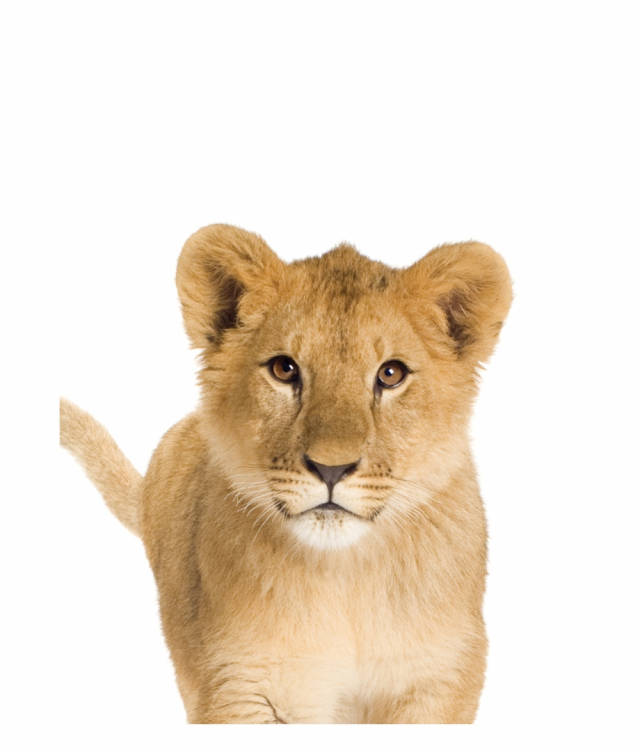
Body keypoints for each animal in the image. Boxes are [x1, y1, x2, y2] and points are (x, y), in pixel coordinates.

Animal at [60, 224, 512, 723]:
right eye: (284, 369)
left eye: (391, 374)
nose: (331, 467)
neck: (345, 579)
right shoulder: (242, 684)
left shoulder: (440, 677)